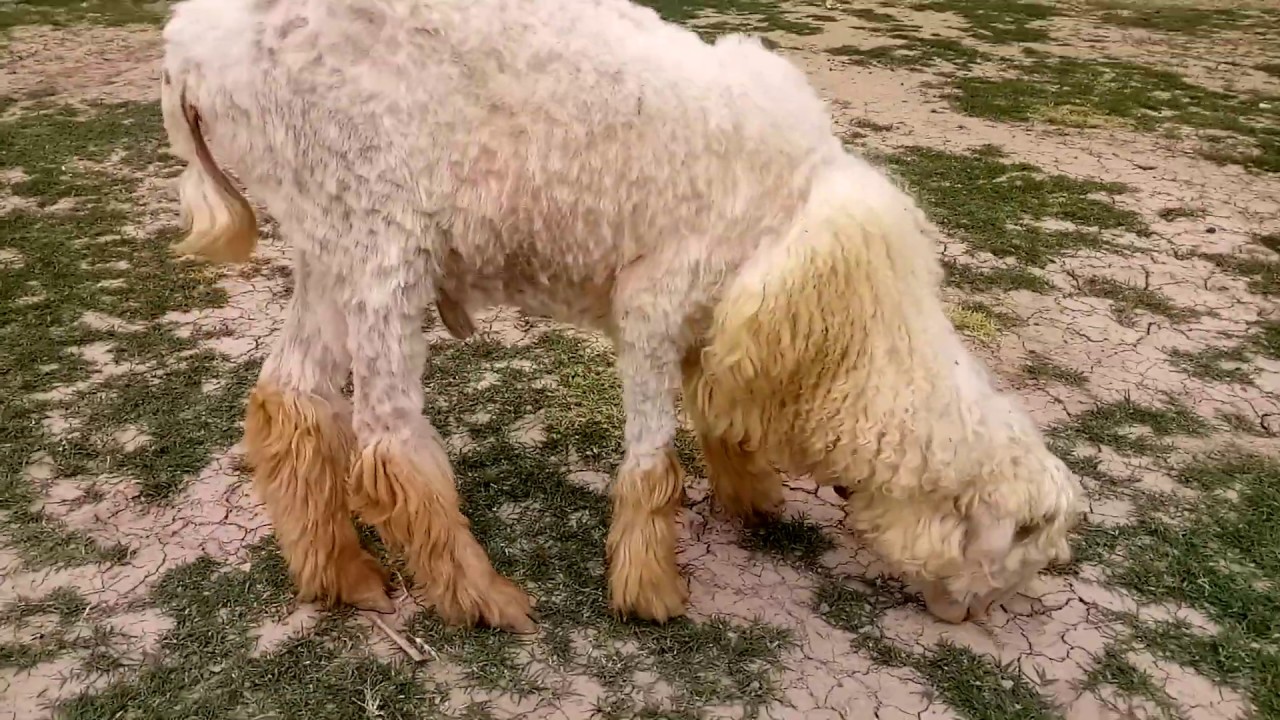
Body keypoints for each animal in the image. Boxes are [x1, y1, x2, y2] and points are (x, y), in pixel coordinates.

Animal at [160, 0, 1083, 631]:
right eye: (1018, 552)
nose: (968, 618)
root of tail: (185, 45)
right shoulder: (658, 300)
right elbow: (654, 462)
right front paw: (651, 590)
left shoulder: (723, 328)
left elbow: (722, 417)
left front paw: (754, 500)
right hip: (386, 237)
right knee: (388, 441)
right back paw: (481, 597)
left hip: (330, 238)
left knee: (288, 399)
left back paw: (339, 575)